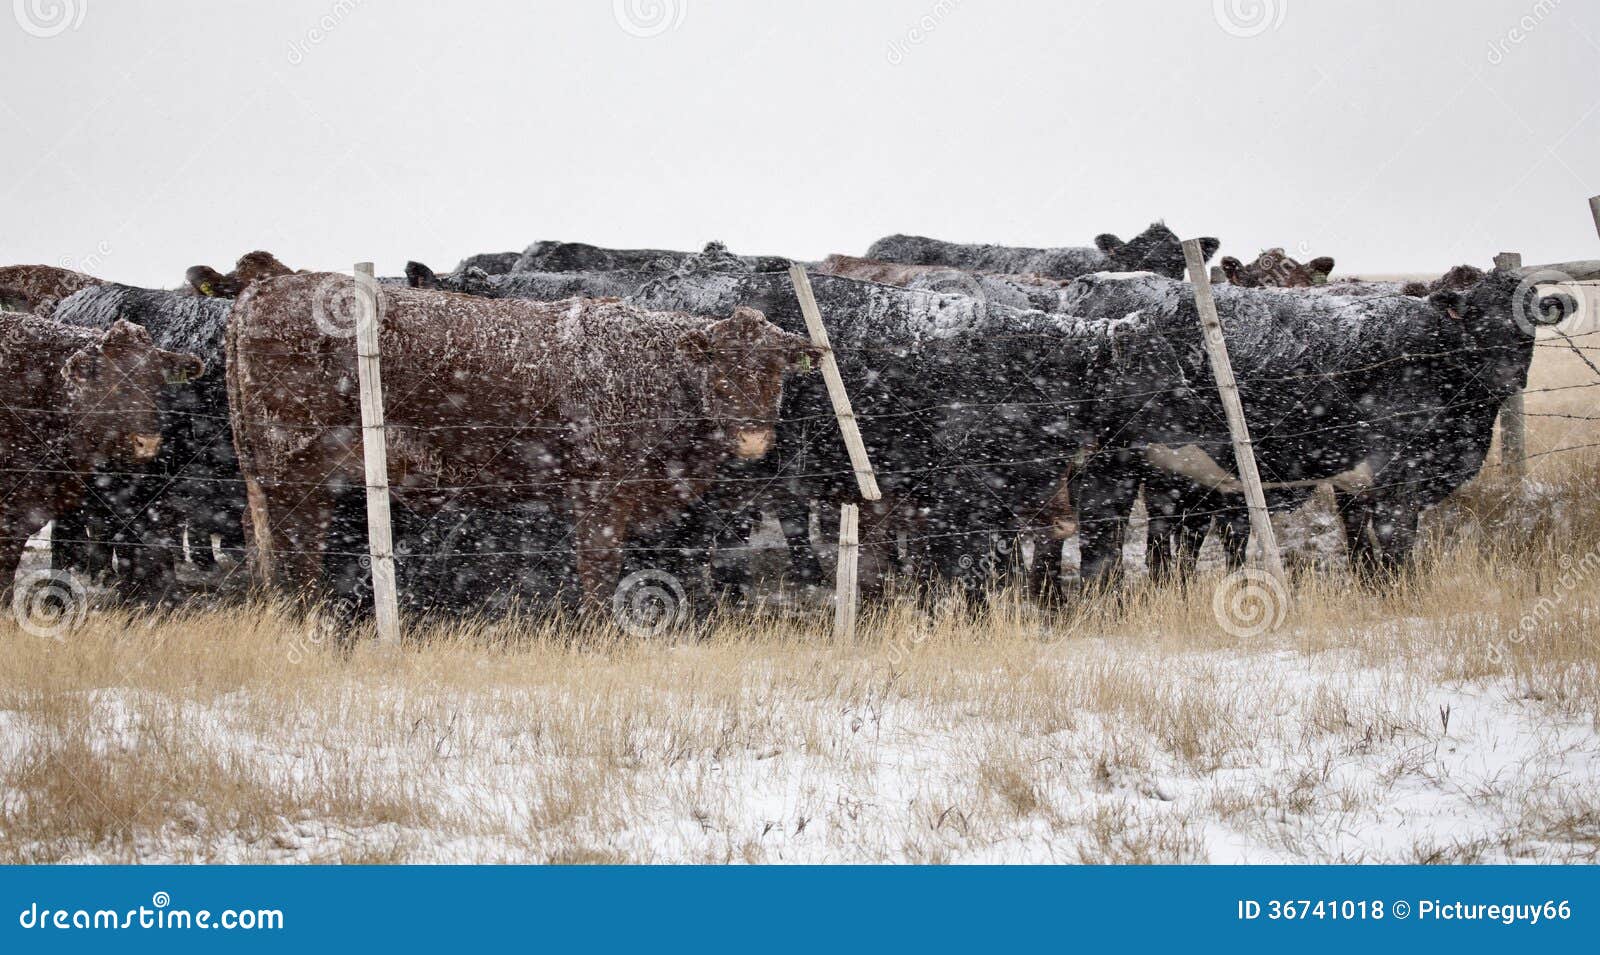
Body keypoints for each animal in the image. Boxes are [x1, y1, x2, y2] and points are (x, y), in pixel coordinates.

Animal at [227, 274, 817, 606]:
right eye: (721, 372)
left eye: (776, 373)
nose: (752, 439)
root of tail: (259, 292)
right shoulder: (599, 491)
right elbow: (600, 570)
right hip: (295, 475)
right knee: (299, 556)